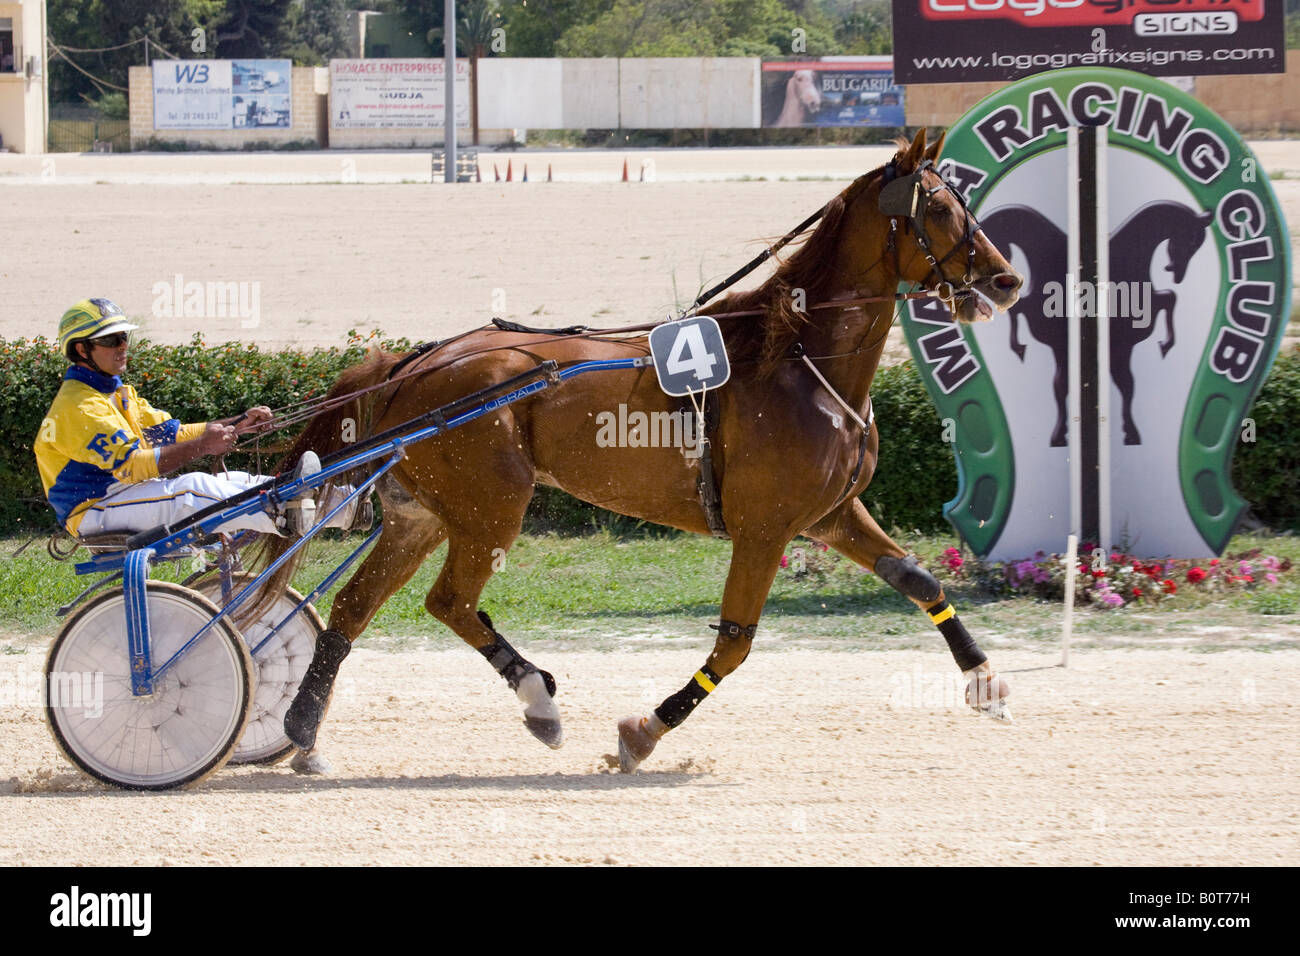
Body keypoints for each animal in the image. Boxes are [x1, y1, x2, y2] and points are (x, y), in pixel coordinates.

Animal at [258, 129, 1023, 773]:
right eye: (942, 209)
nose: (1006, 281)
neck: (796, 355)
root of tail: (414, 364)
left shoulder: (830, 514)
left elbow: (919, 580)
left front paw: (986, 680)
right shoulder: (766, 527)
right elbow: (735, 640)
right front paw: (643, 732)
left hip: (421, 514)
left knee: (353, 607)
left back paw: (303, 734)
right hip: (490, 508)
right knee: (450, 601)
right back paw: (538, 699)